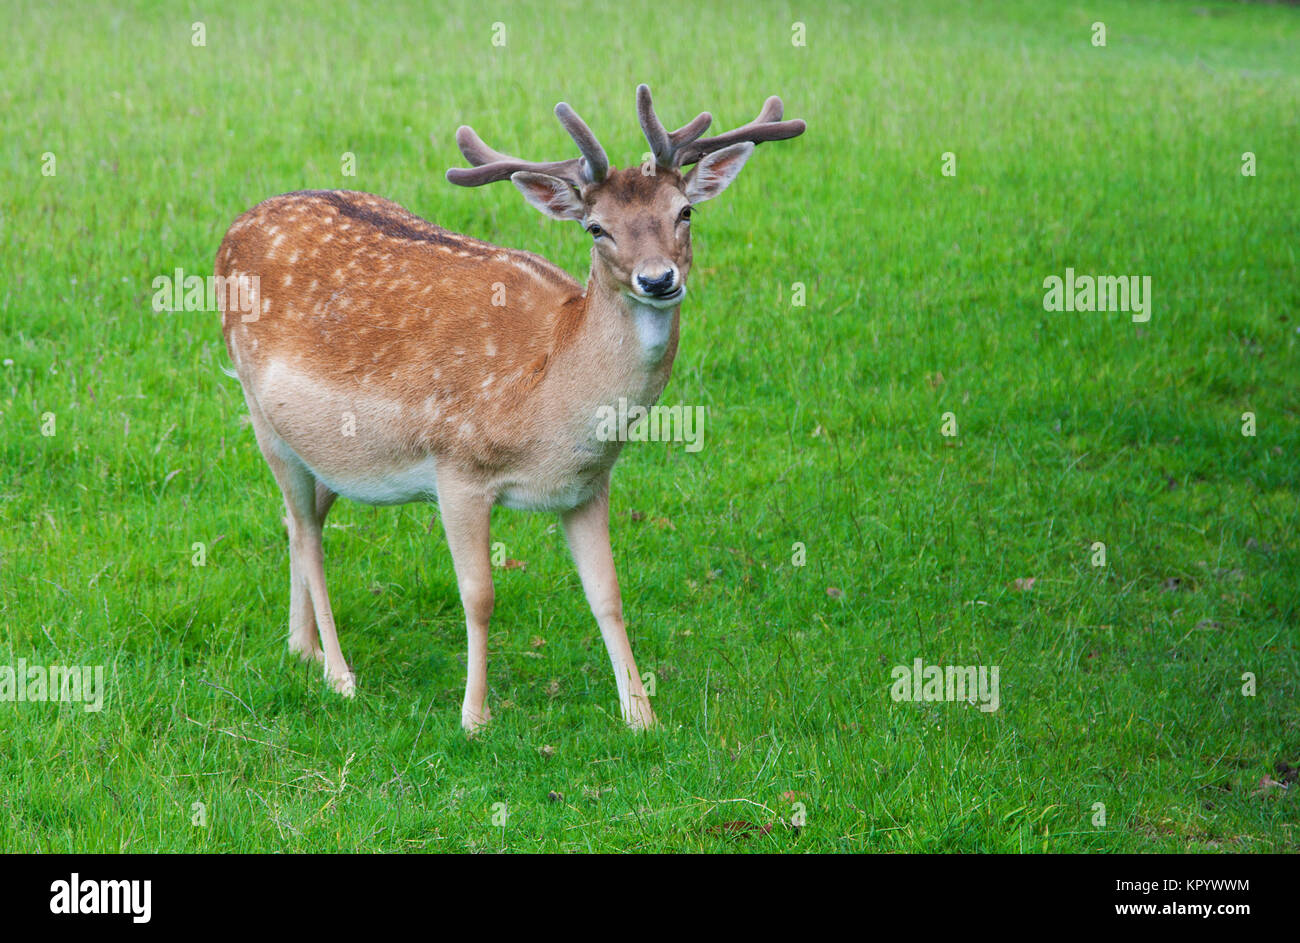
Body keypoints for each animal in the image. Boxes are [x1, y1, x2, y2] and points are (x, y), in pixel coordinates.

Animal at [216, 85, 805, 732]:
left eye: (685, 212)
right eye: (596, 228)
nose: (658, 279)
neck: (548, 402)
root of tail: (233, 227)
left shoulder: (587, 484)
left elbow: (608, 593)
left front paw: (641, 716)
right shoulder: (456, 467)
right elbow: (479, 595)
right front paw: (474, 717)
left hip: (328, 449)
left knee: (301, 522)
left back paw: (302, 648)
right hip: (260, 411)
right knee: (305, 530)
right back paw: (339, 675)